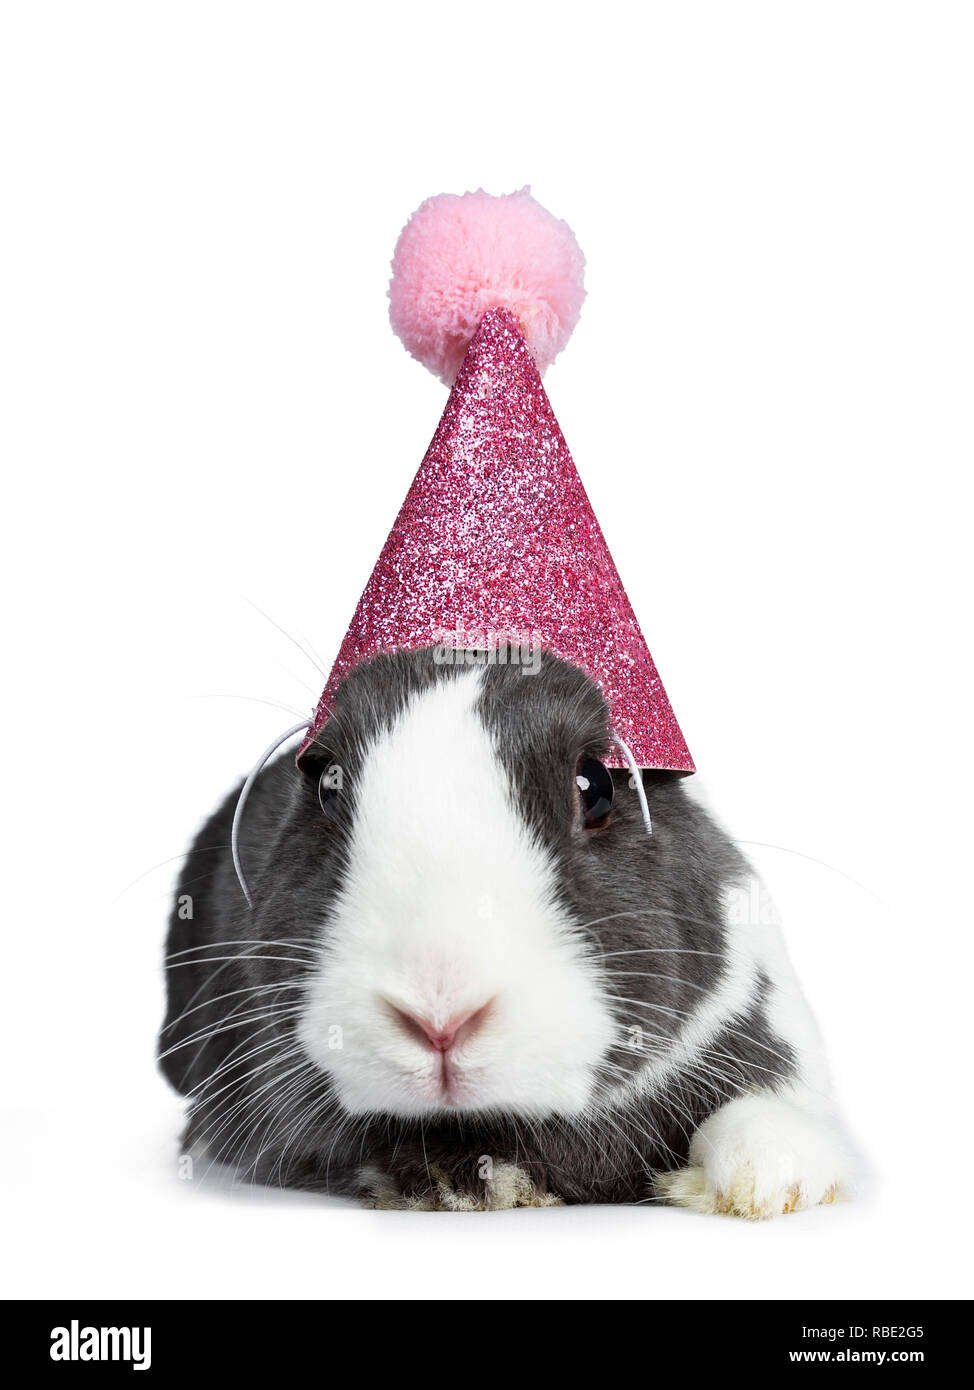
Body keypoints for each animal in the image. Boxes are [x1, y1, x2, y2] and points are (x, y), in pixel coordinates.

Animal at [159, 646, 855, 1216]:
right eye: (327, 786)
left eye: (595, 785)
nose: (440, 1016)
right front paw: (457, 1181)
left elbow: (768, 1115)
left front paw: (763, 1177)